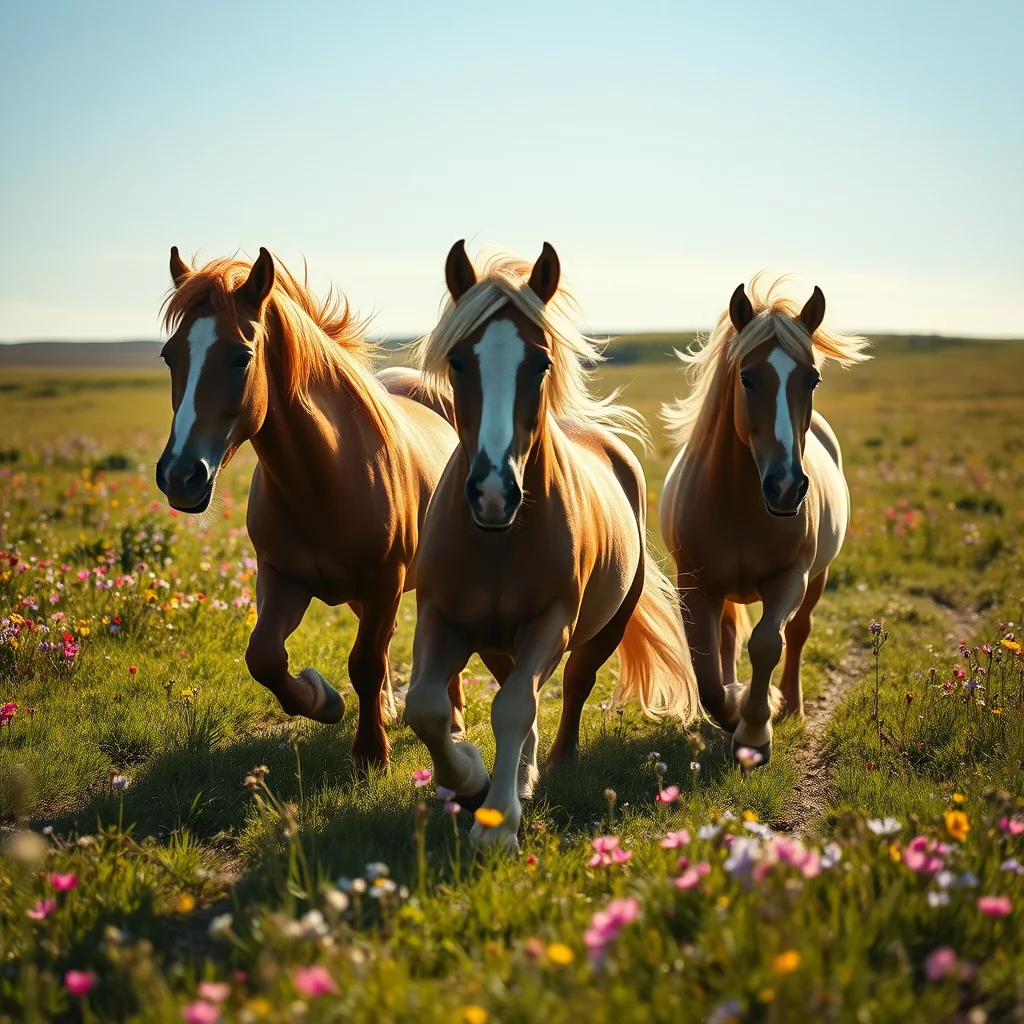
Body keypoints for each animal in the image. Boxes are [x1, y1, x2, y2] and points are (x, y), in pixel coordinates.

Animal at [155, 247, 460, 771]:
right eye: (170, 355)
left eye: (241, 357)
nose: (180, 475)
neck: (325, 479)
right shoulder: (282, 579)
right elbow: (264, 657)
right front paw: (323, 700)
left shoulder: (384, 582)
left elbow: (364, 662)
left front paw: (370, 754)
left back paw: (454, 717)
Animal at [403, 240, 700, 851]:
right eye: (458, 361)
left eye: (539, 362)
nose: (494, 492)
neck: (499, 541)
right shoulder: (441, 617)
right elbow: (426, 707)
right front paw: (473, 780)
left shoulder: (552, 623)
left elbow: (516, 707)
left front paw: (496, 822)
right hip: (496, 639)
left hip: (603, 627)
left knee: (571, 685)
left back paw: (558, 762)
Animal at [660, 275, 869, 765]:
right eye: (747, 378)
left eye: (812, 378)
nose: (786, 486)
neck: (741, 505)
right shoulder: (695, 585)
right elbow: (706, 671)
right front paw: (732, 712)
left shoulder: (791, 577)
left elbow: (768, 643)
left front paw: (755, 728)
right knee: (727, 641)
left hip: (819, 576)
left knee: (798, 631)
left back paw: (791, 704)